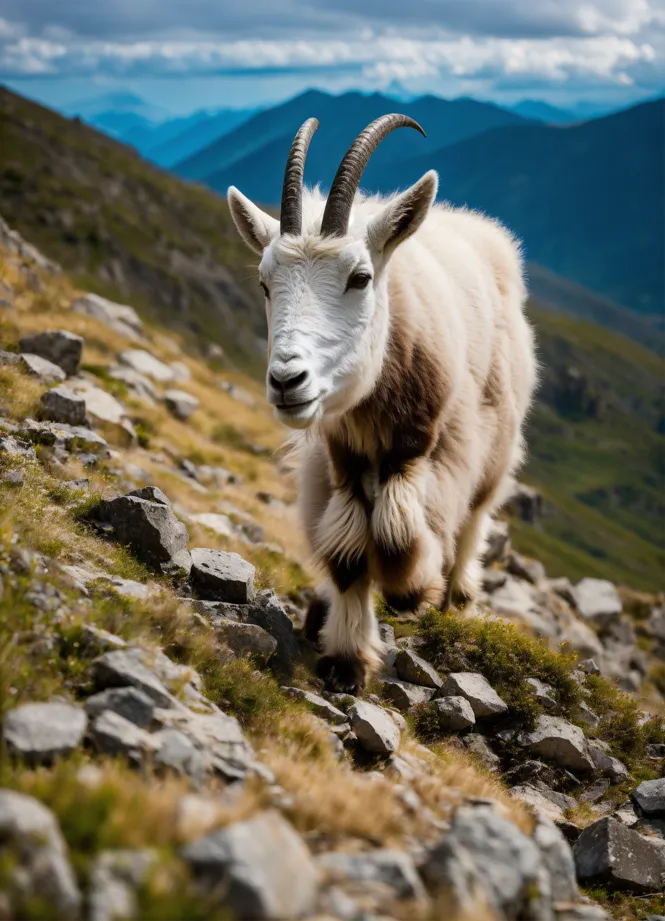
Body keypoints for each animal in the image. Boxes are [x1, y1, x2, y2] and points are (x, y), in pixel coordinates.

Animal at [227, 115, 537, 692]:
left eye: (360, 277)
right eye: (264, 282)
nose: (287, 381)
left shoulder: (426, 454)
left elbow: (394, 539)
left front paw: (414, 591)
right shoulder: (337, 465)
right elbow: (347, 553)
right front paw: (347, 661)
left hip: (495, 451)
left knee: (473, 525)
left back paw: (455, 599)